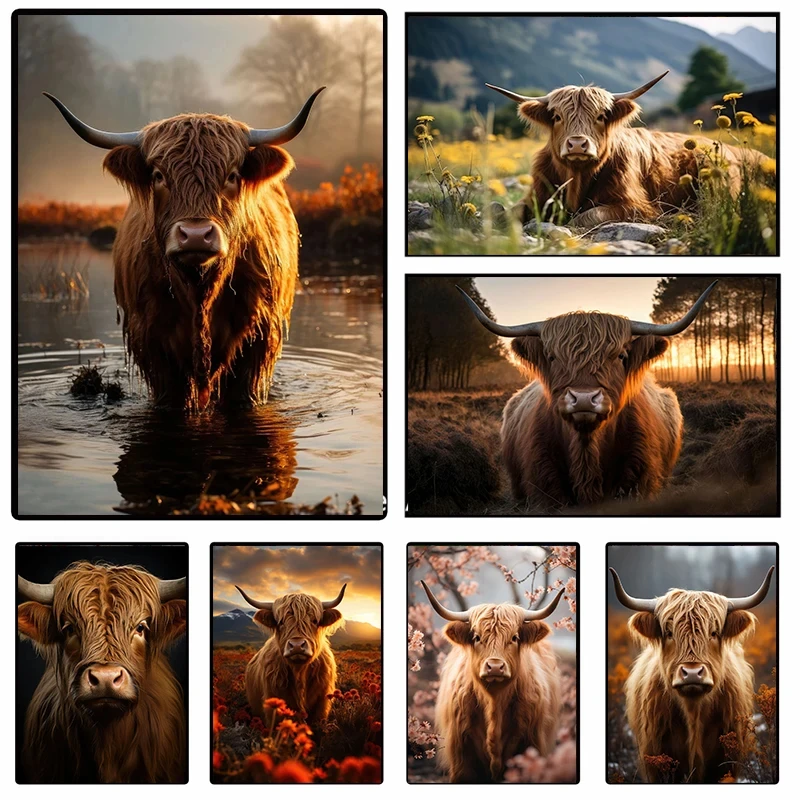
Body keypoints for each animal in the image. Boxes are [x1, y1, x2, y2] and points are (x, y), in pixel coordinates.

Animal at [44, 88, 324, 411]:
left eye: (231, 176)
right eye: (158, 175)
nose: (195, 236)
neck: (200, 290)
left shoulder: (256, 338)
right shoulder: (153, 342)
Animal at [486, 73, 767, 227]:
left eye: (601, 116)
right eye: (556, 116)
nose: (577, 144)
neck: (577, 177)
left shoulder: (637, 206)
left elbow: (585, 216)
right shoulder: (536, 194)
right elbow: (501, 212)